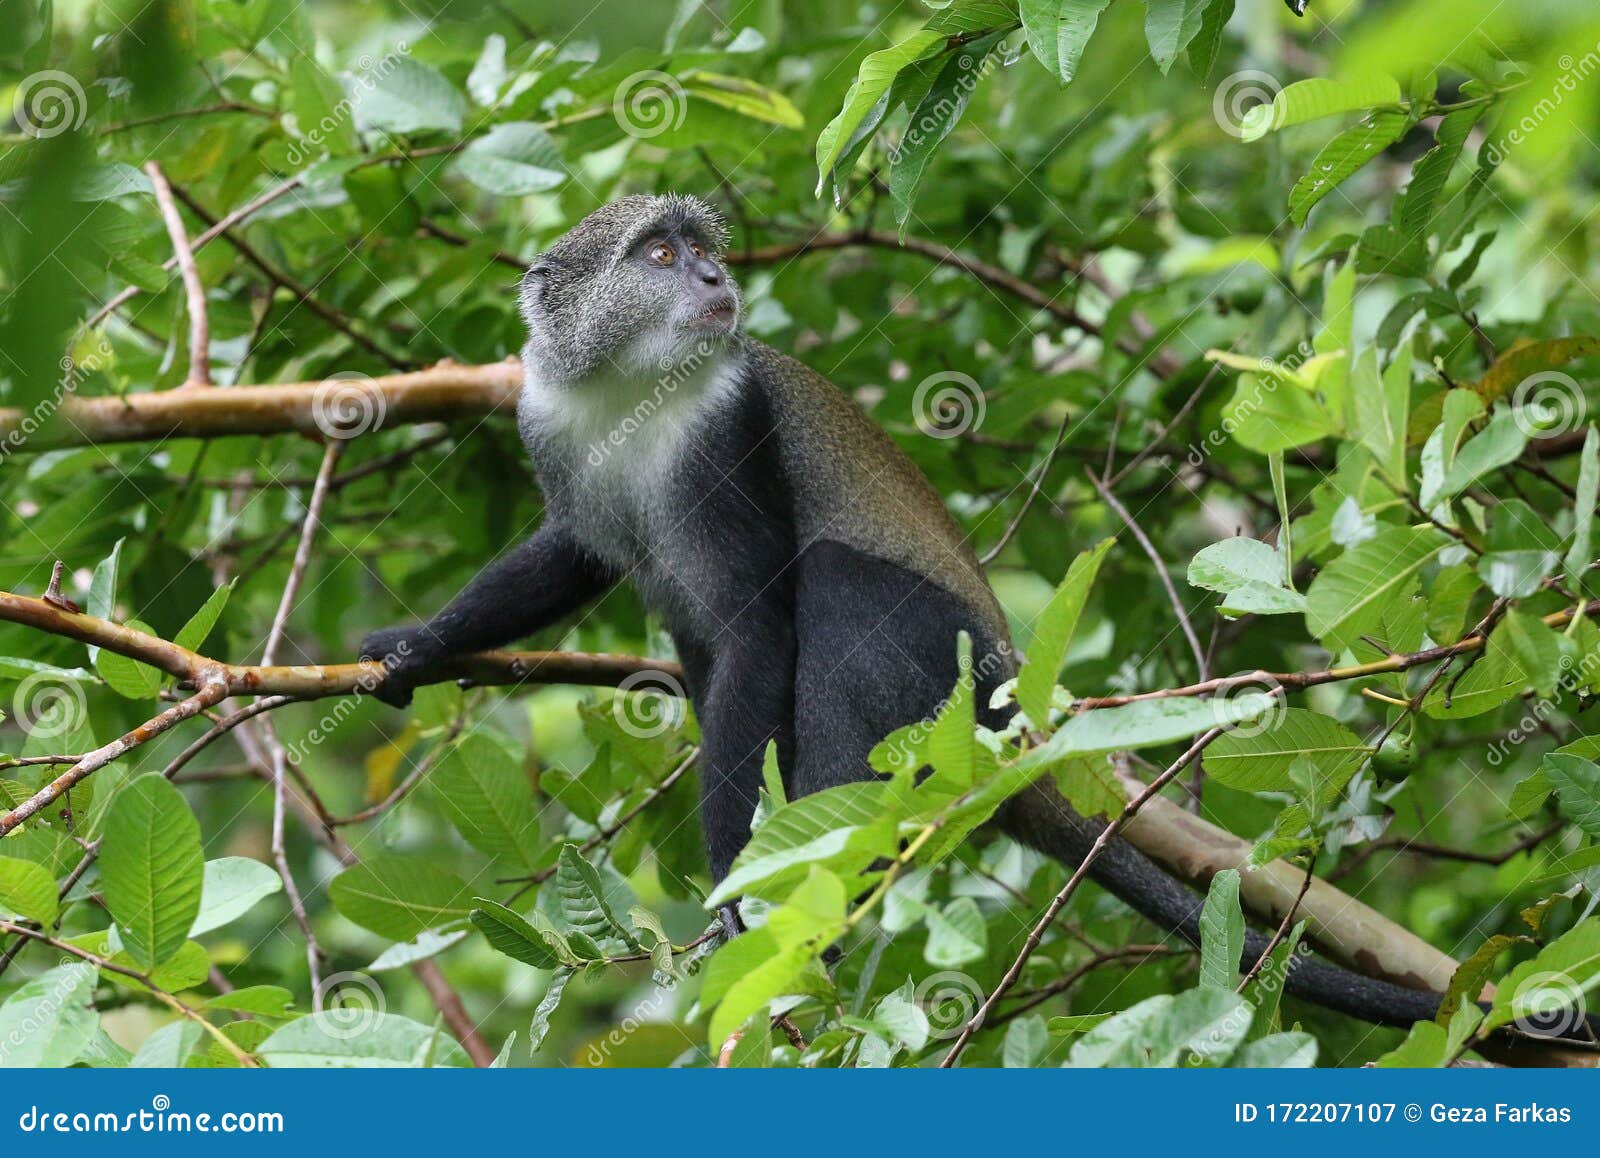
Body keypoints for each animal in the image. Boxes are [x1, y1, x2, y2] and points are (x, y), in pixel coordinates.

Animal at [358, 193, 1577, 1041]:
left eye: (697, 249)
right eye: (655, 254)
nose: (709, 272)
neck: (628, 388)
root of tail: (1009, 732)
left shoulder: (726, 424)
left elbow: (760, 623)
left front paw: (741, 878)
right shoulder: (549, 418)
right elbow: (569, 556)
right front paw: (418, 645)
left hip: (945, 669)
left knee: (834, 588)